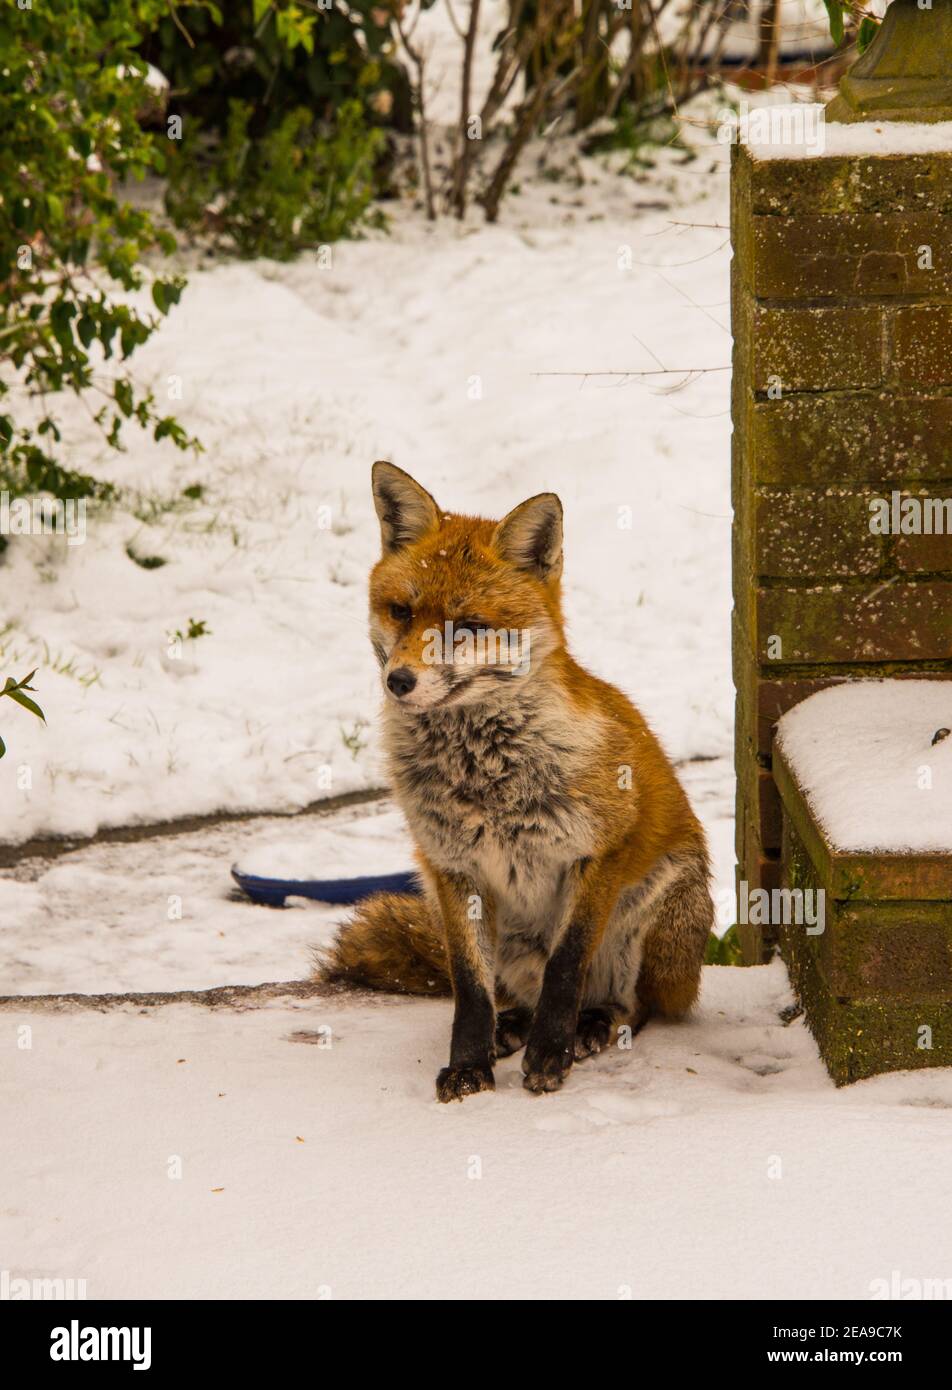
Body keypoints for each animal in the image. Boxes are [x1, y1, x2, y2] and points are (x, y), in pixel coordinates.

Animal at [317, 461, 714, 1102]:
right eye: (402, 611)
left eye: (469, 627)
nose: (399, 681)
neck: (484, 773)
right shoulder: (451, 868)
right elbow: (469, 988)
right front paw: (469, 1064)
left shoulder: (596, 853)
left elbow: (565, 970)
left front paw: (551, 1053)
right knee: (512, 991)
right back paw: (514, 1025)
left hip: (656, 909)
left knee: (638, 1005)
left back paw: (591, 1025)